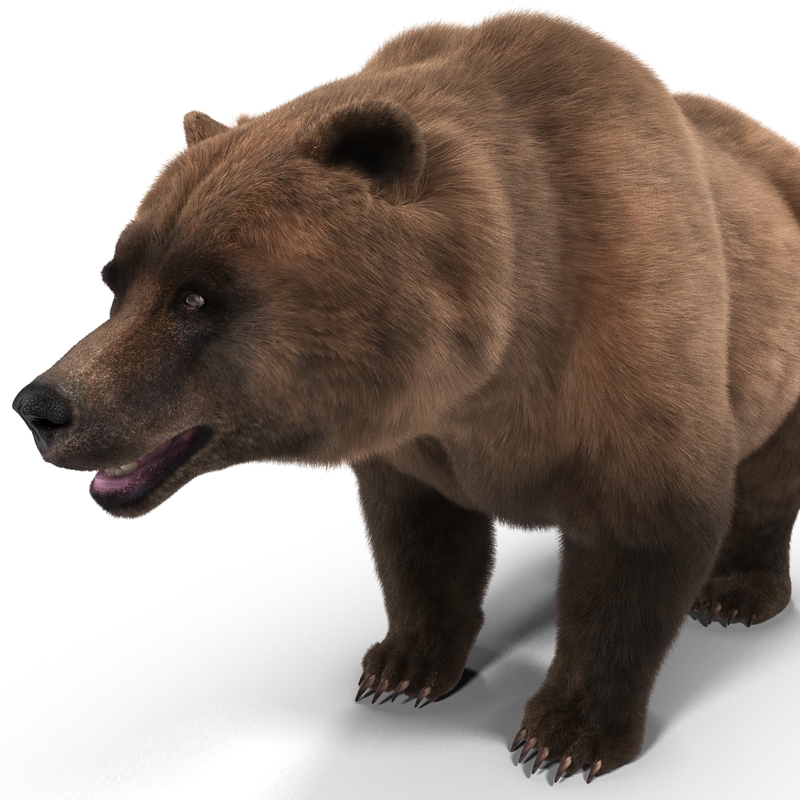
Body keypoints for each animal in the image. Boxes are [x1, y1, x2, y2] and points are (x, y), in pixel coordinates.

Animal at [12, 11, 800, 783]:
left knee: (767, 482)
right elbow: (418, 537)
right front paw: (403, 667)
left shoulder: (623, 335)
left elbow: (641, 535)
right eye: (116, 279)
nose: (42, 406)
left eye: (196, 297)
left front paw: (563, 737)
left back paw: (734, 594)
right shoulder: (419, 437)